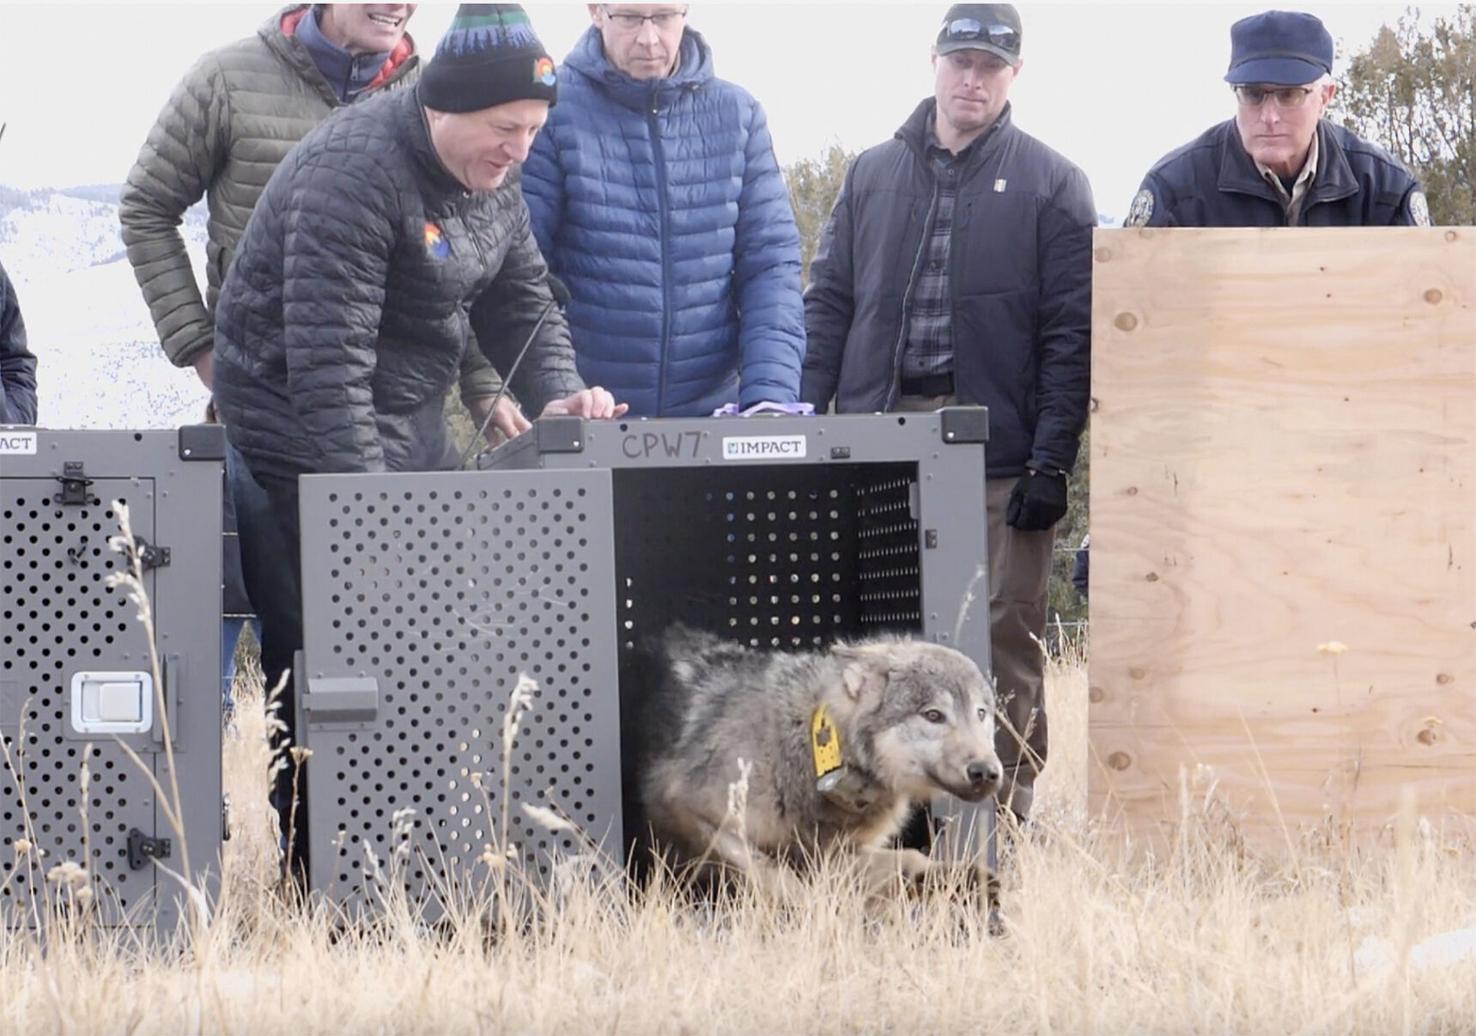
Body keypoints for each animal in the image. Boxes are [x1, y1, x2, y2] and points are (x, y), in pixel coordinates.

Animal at [626, 624, 1002, 900]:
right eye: (934, 715)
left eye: (981, 714)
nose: (987, 772)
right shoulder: (684, 805)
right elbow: (772, 872)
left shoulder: (832, 852)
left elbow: (908, 858)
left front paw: (966, 877)